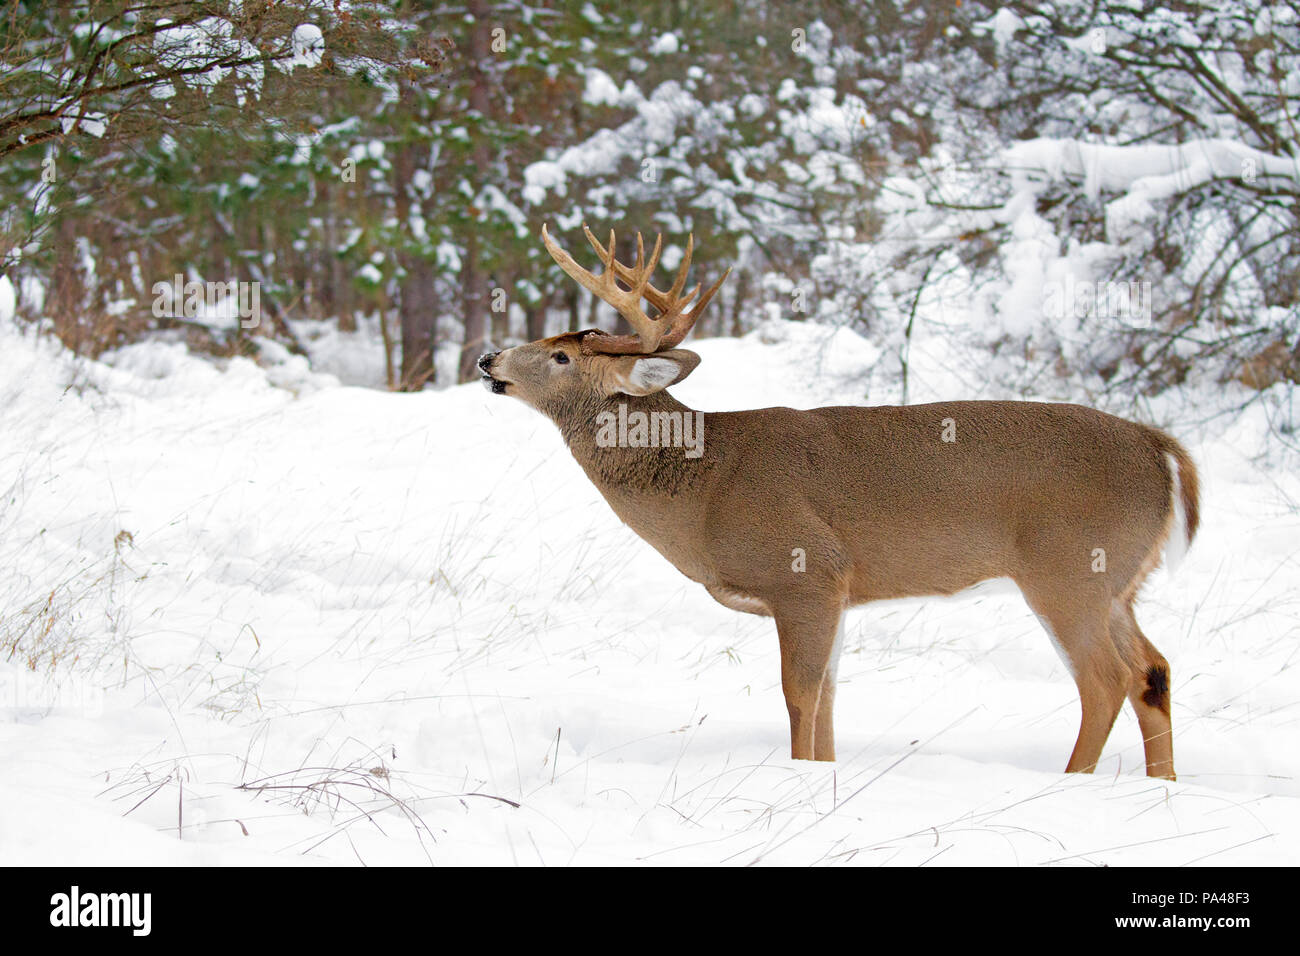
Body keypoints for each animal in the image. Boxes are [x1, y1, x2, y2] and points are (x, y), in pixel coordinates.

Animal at [478, 224, 1200, 780]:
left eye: (563, 356)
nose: (488, 358)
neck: (705, 487)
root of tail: (1160, 448)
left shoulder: (806, 571)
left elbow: (800, 696)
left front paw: (800, 779)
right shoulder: (838, 591)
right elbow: (827, 698)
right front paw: (822, 775)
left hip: (1069, 568)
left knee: (1107, 680)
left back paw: (1072, 782)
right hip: (1118, 582)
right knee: (1154, 669)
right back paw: (1161, 787)